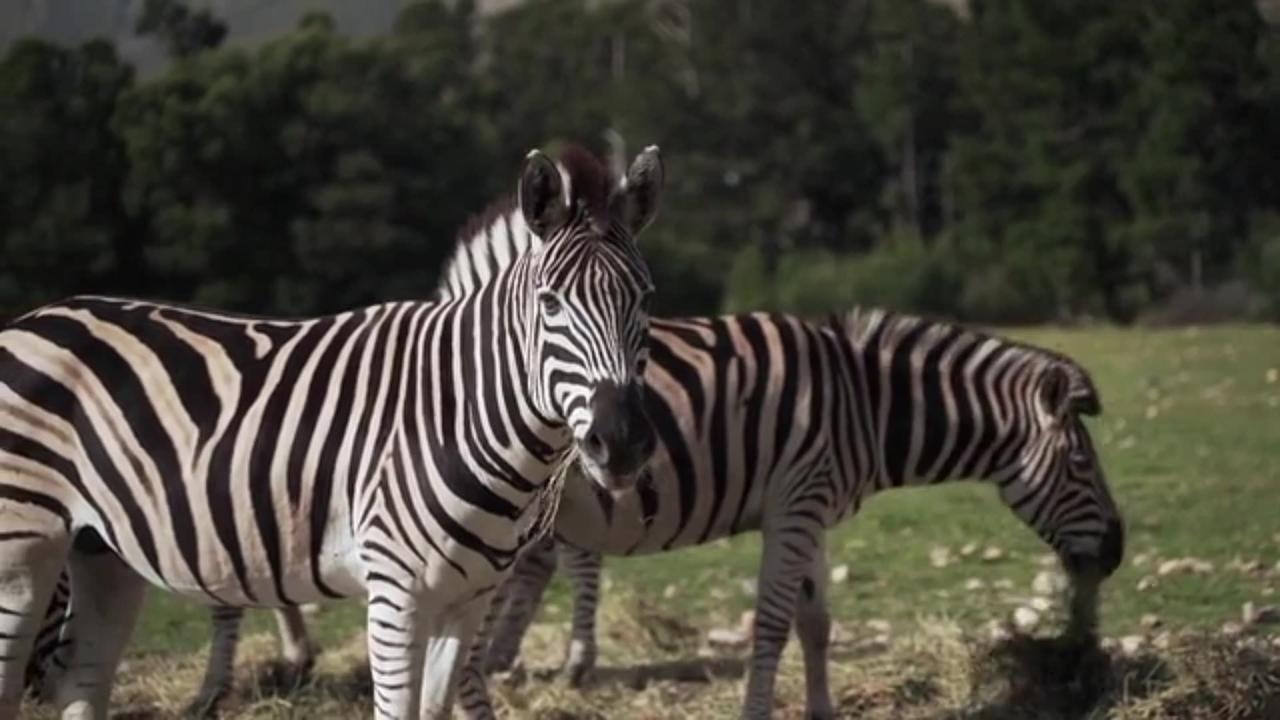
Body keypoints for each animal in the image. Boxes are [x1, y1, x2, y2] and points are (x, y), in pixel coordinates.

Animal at [0, 142, 663, 720]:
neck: (461, 411)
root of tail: (32, 320)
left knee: (80, 682)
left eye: (645, 299)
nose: (620, 441)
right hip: (23, 545)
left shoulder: (467, 597)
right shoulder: (396, 591)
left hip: (102, 551)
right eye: (550, 303)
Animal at [473, 307, 1125, 719]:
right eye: (1079, 464)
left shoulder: (810, 508)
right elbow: (772, 625)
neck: (862, 403)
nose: (1116, 553)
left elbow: (817, 623)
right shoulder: (795, 505)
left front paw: (822, 711)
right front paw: (758, 713)